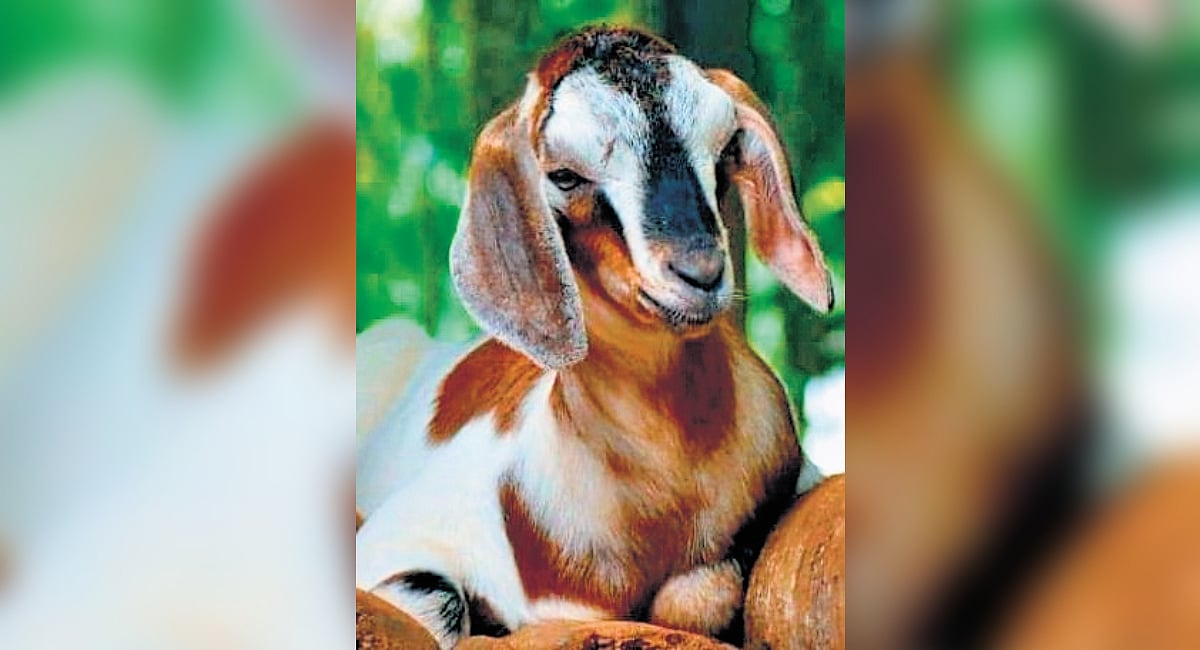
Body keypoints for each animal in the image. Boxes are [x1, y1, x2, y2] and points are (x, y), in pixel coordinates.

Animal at [355, 26, 834, 648]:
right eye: (564, 175)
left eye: (724, 147)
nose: (699, 270)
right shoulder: (404, 529)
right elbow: (441, 599)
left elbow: (703, 591)